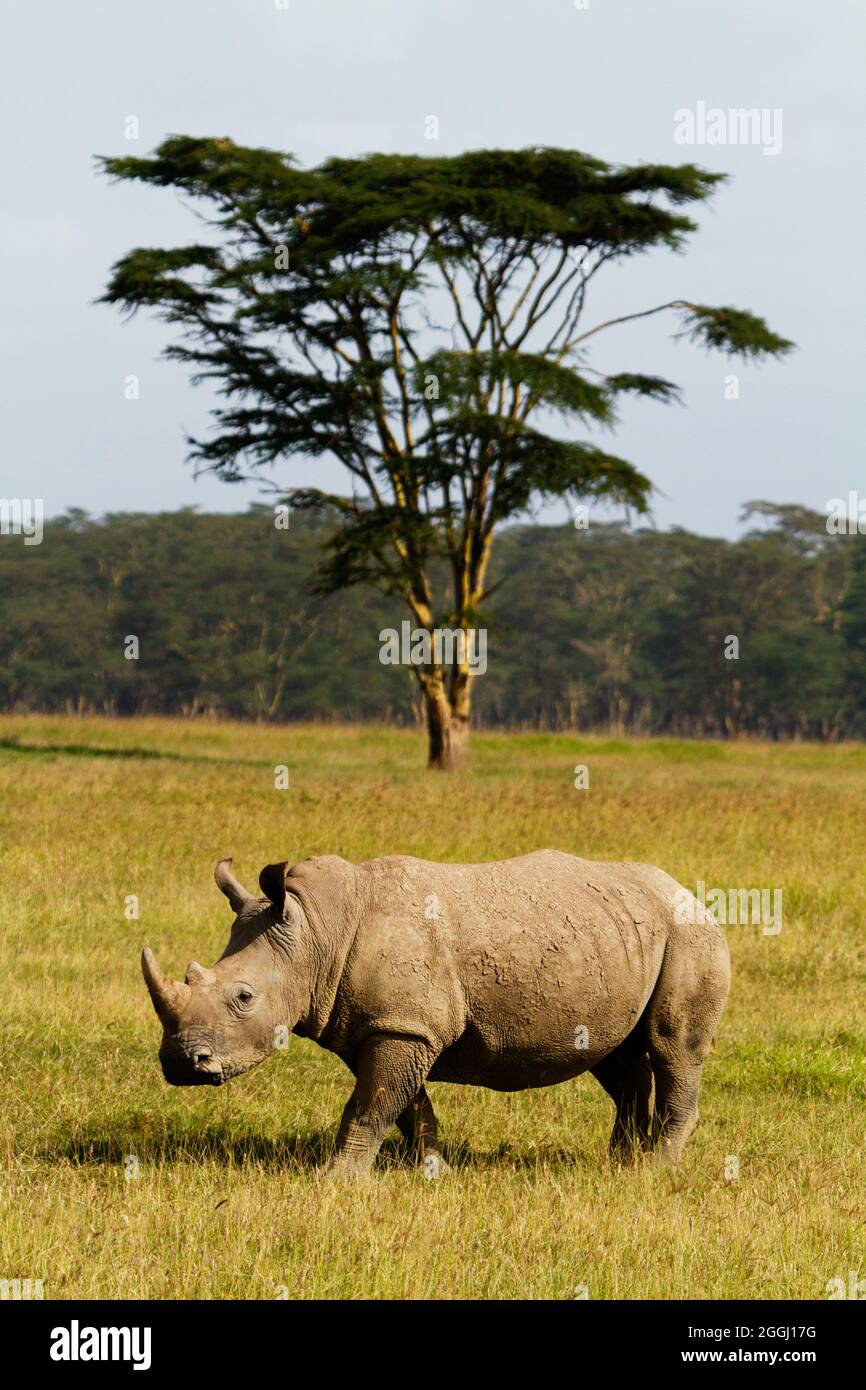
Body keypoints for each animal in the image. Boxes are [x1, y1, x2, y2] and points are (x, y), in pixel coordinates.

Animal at [141, 850, 730, 1175]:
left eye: (243, 998)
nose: (182, 1064)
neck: (316, 931)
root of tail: (689, 893)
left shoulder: (403, 1027)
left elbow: (370, 1106)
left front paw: (334, 1180)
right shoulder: (385, 1025)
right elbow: (404, 1105)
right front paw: (433, 1171)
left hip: (689, 936)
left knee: (673, 1047)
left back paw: (654, 1169)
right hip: (618, 939)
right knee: (614, 1056)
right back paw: (618, 1163)